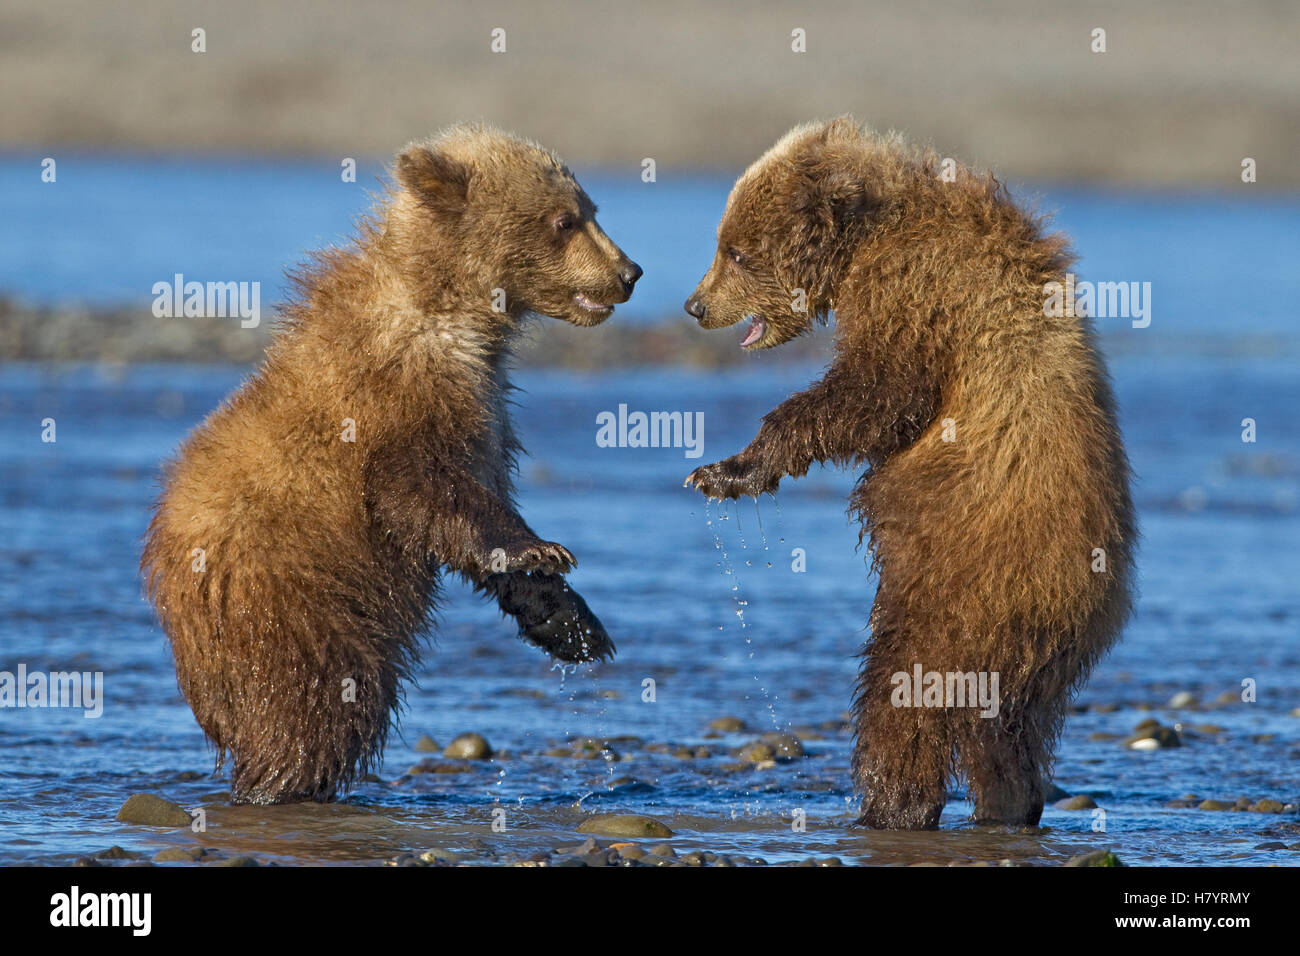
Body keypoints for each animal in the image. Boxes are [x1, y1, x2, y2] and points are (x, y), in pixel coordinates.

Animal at [142, 124, 641, 804]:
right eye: (565, 219)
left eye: (592, 209)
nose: (629, 272)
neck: (452, 306)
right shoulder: (394, 399)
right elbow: (428, 495)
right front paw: (542, 549)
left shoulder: (486, 404)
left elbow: (478, 502)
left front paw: (567, 619)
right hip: (294, 602)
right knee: (317, 703)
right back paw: (284, 784)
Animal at [683, 117, 1135, 829]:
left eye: (736, 253)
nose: (695, 305)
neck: (867, 236)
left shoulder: (917, 287)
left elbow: (881, 389)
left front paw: (731, 468)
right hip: (1027, 643)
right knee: (1004, 728)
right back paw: (1009, 804)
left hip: (961, 582)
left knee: (905, 688)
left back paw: (888, 805)